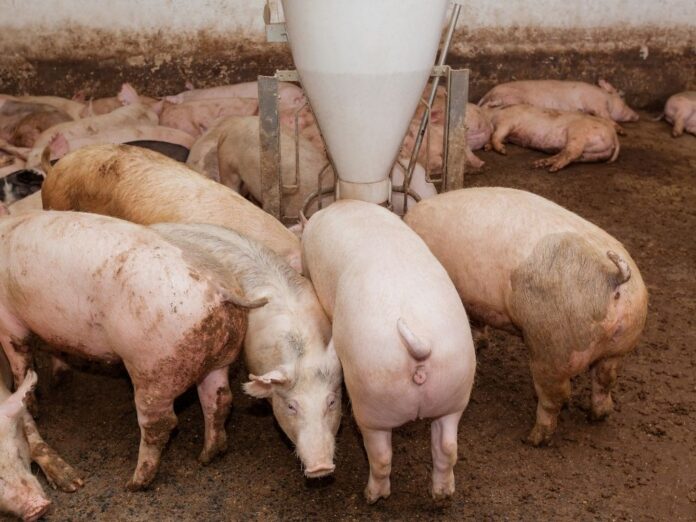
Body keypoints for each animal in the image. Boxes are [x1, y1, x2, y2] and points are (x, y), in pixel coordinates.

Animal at [0, 211, 264, 489]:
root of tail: (218, 289)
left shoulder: (7, 320)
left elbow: (20, 357)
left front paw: (32, 402)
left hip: (154, 367)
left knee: (161, 423)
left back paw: (135, 483)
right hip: (220, 356)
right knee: (220, 399)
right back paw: (208, 456)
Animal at [302, 201, 476, 503]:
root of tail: (419, 347)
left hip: (371, 400)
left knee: (381, 457)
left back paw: (372, 496)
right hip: (455, 390)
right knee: (448, 447)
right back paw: (442, 494)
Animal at [404, 187, 649, 446]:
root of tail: (614, 276)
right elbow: (478, 320)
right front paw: (479, 344)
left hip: (551, 346)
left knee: (556, 396)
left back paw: (534, 439)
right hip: (621, 345)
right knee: (605, 379)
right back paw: (597, 416)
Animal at [478, 79, 640, 123]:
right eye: (624, 100)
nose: (638, 115)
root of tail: (489, 93)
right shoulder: (596, 102)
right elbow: (606, 115)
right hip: (509, 96)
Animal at [484, 104, 622, 172]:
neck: (493, 115)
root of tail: (614, 136)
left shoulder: (506, 122)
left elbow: (496, 136)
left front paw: (503, 151)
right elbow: (496, 138)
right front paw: (487, 147)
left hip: (579, 133)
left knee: (572, 152)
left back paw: (552, 169)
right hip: (592, 155)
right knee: (568, 154)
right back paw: (539, 164)